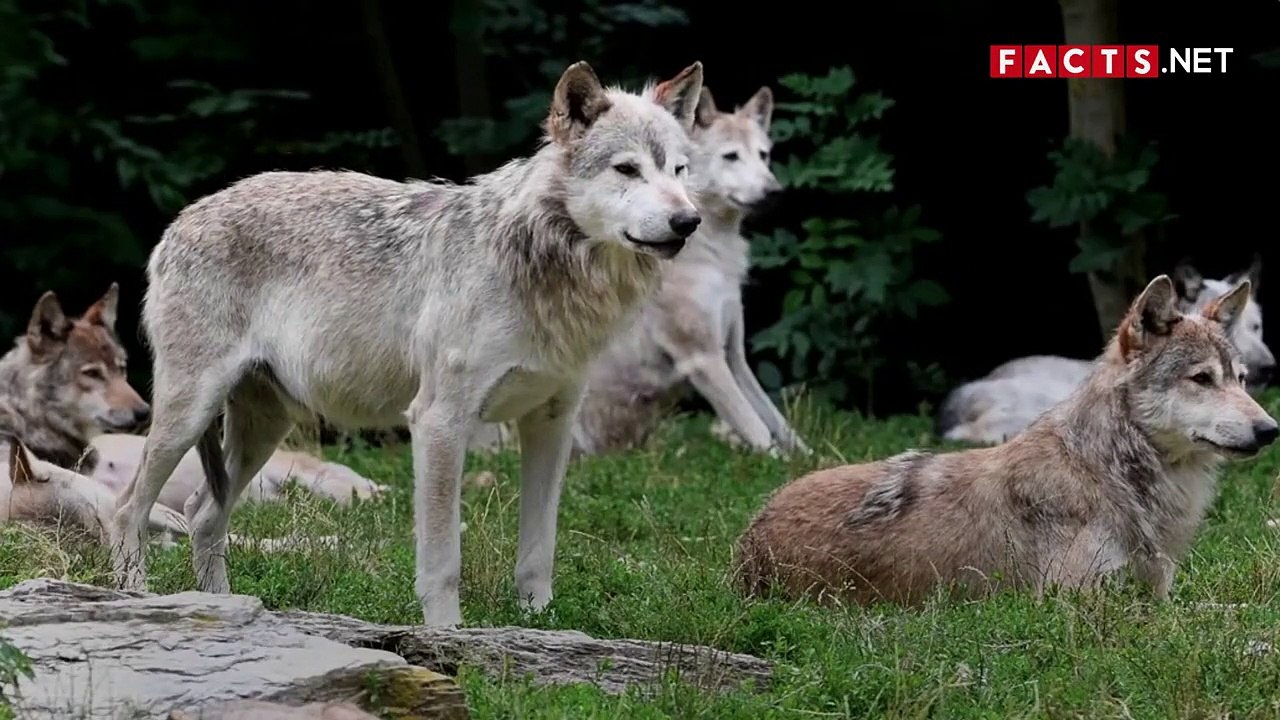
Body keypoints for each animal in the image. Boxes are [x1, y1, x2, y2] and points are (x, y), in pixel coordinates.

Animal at [110, 60, 707, 627]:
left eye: (679, 171)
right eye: (627, 169)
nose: (689, 220)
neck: (545, 269)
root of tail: (180, 220)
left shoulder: (552, 425)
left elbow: (539, 552)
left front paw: (543, 624)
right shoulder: (439, 421)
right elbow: (443, 559)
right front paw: (450, 635)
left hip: (263, 430)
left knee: (202, 513)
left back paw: (222, 605)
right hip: (188, 415)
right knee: (127, 509)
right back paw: (136, 596)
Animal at [567, 85, 808, 456]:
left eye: (763, 155)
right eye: (731, 157)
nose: (774, 193)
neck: (713, 253)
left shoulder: (734, 357)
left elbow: (779, 423)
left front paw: (813, 459)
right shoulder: (704, 359)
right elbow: (758, 430)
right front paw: (779, 463)